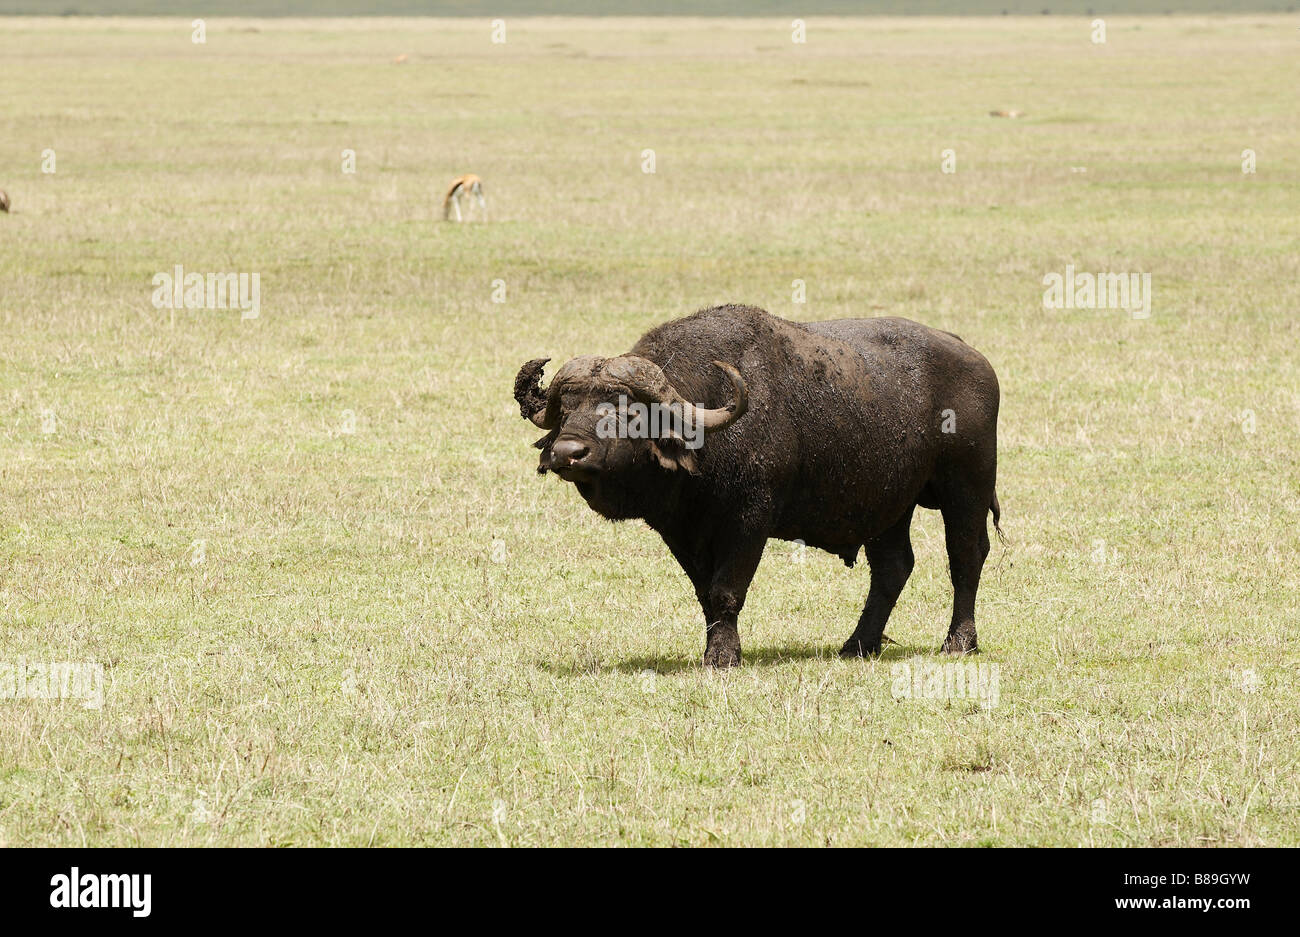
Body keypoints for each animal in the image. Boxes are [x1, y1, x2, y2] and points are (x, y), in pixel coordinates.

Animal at [514, 304, 1002, 668]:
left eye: (627, 410)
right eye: (567, 406)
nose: (567, 453)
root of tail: (972, 356)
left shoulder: (749, 520)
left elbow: (727, 590)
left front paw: (722, 658)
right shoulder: (680, 531)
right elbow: (705, 593)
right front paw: (718, 648)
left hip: (967, 486)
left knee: (965, 557)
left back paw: (959, 642)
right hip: (888, 508)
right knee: (893, 568)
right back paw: (858, 645)